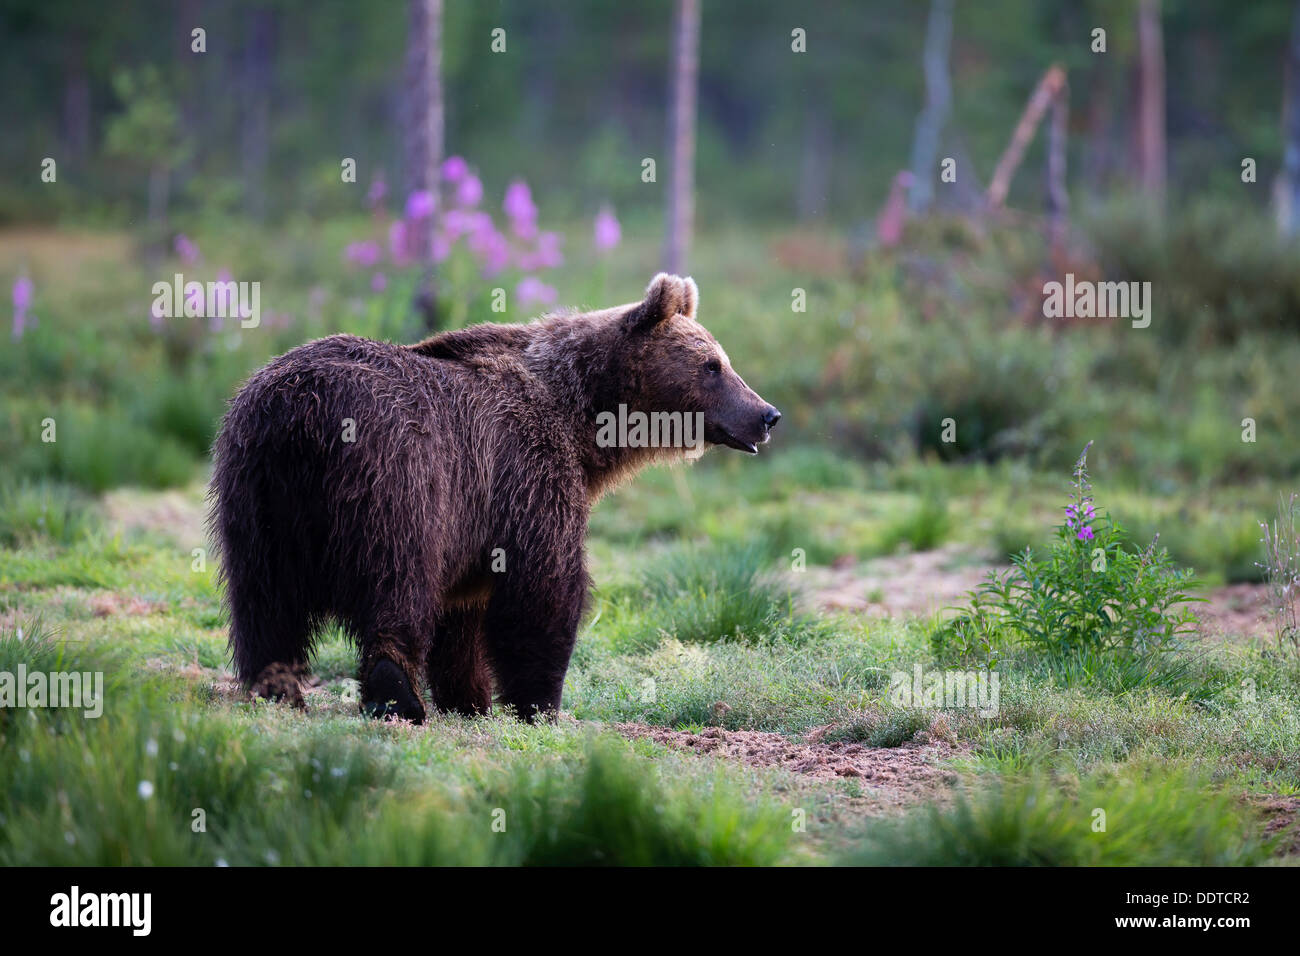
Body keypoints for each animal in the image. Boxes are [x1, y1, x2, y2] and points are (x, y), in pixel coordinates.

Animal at [208, 273, 780, 723]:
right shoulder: (524, 471)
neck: (584, 420)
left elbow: (464, 615)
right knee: (397, 582)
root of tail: (299, 415)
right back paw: (398, 696)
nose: (767, 413)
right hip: (393, 478)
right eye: (712, 365)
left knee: (263, 600)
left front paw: (471, 699)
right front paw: (541, 704)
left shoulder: (478, 518)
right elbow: (543, 590)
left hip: (252, 485)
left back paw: (276, 688)